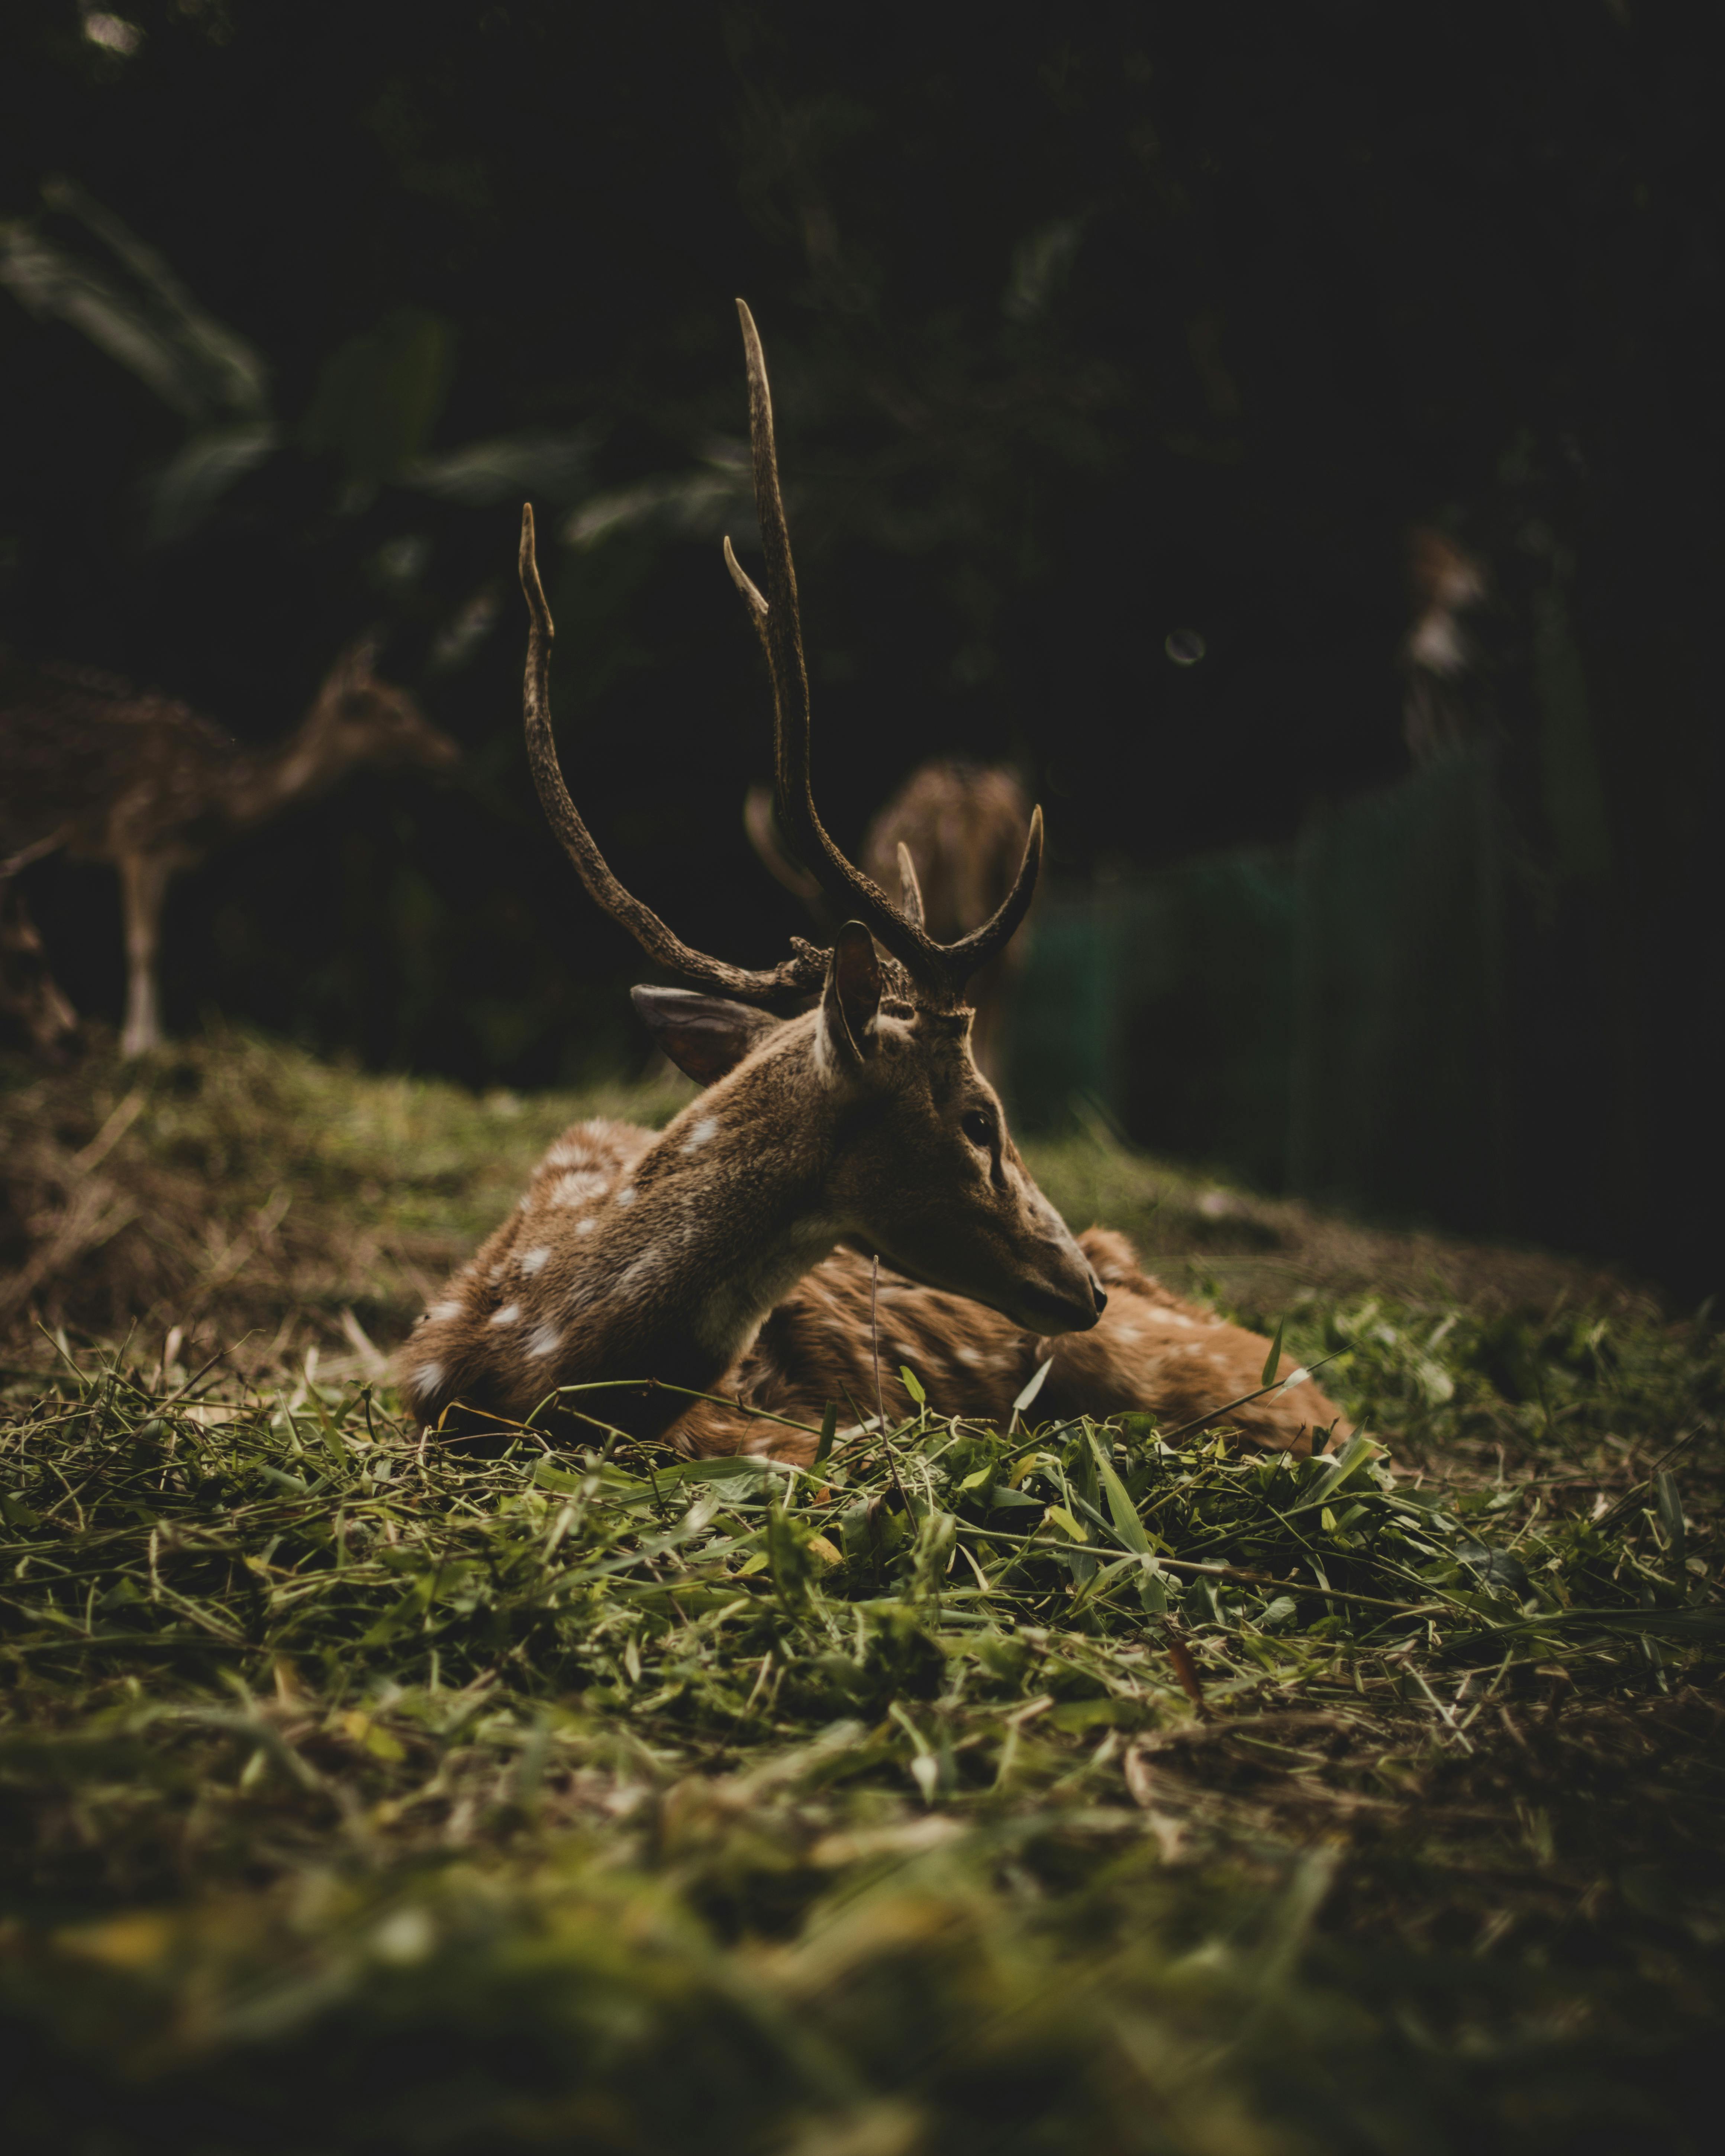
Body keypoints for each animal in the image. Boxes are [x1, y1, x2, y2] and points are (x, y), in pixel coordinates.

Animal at [0, 637, 459, 1057]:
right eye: (395, 713)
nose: (451, 755)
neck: (216, 803)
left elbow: (163, 947)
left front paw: (151, 1042)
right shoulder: (138, 834)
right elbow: (144, 947)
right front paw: (141, 1047)